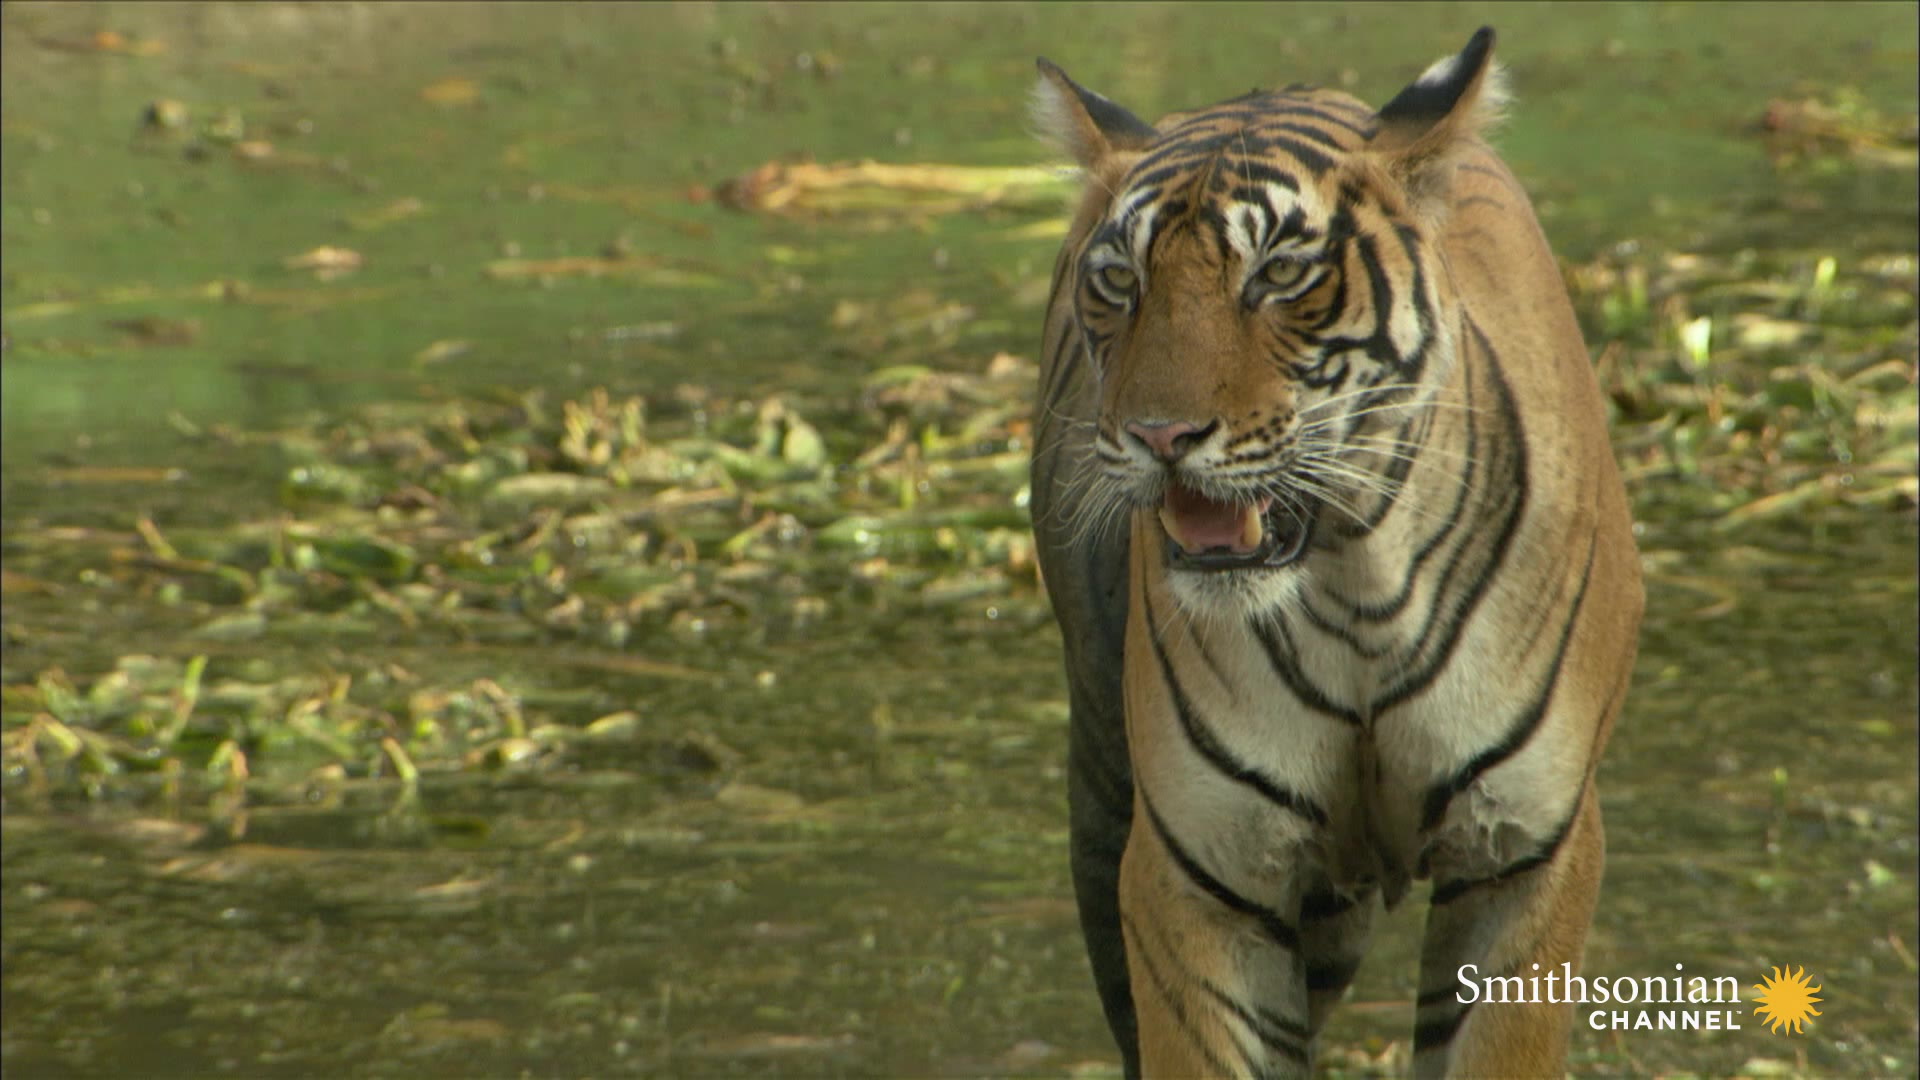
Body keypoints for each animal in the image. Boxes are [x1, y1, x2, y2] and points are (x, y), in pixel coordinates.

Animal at [1027, 27, 1643, 1079]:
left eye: (1277, 275)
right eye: (1122, 282)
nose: (1158, 436)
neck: (1359, 584)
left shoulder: (1525, 857)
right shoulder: (1200, 875)